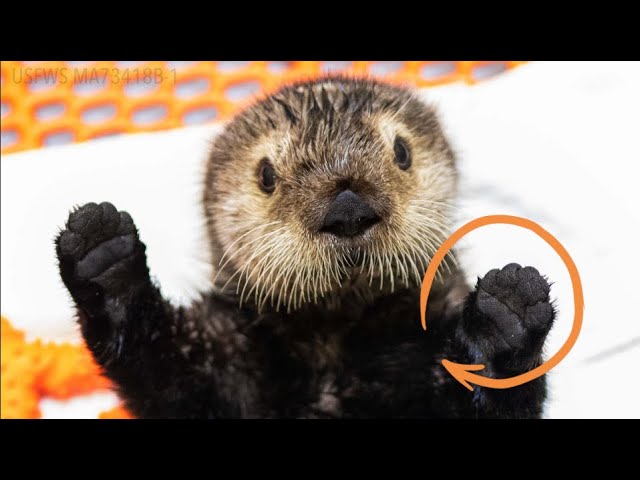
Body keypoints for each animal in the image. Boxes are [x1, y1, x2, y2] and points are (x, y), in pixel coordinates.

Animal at [55, 76, 555, 418]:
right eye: (266, 175)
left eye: (402, 153)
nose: (349, 210)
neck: (334, 334)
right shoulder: (227, 362)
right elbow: (167, 375)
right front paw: (103, 254)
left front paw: (504, 314)